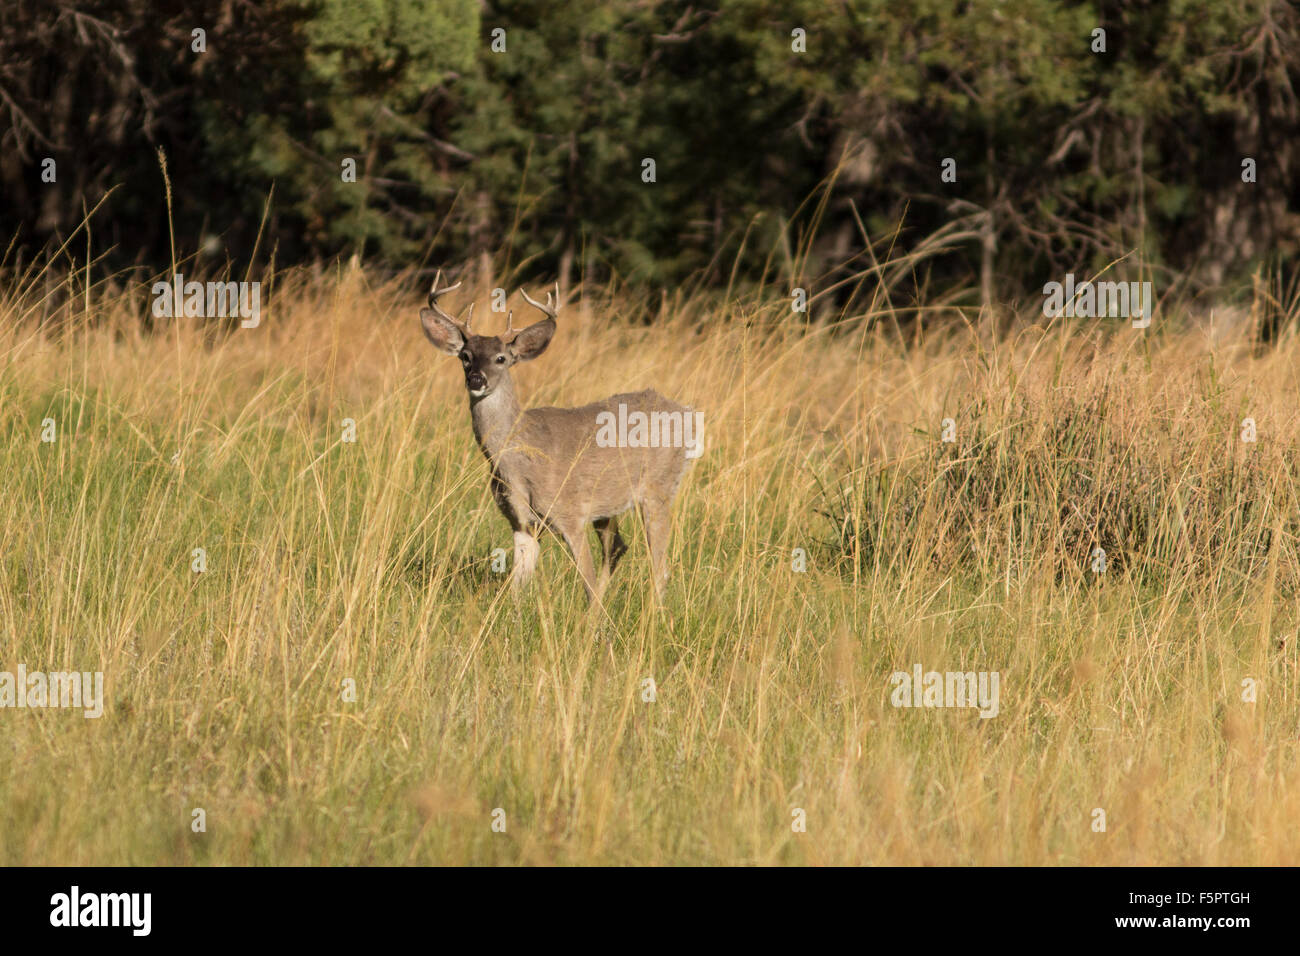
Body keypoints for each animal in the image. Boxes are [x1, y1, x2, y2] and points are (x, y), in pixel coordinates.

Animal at [420, 273, 699, 603]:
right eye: (465, 356)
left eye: (501, 358)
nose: (476, 379)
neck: (518, 465)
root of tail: (685, 412)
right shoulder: (522, 522)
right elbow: (517, 586)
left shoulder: (570, 514)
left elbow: (586, 581)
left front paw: (594, 619)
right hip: (608, 507)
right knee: (618, 548)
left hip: (658, 489)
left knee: (660, 567)